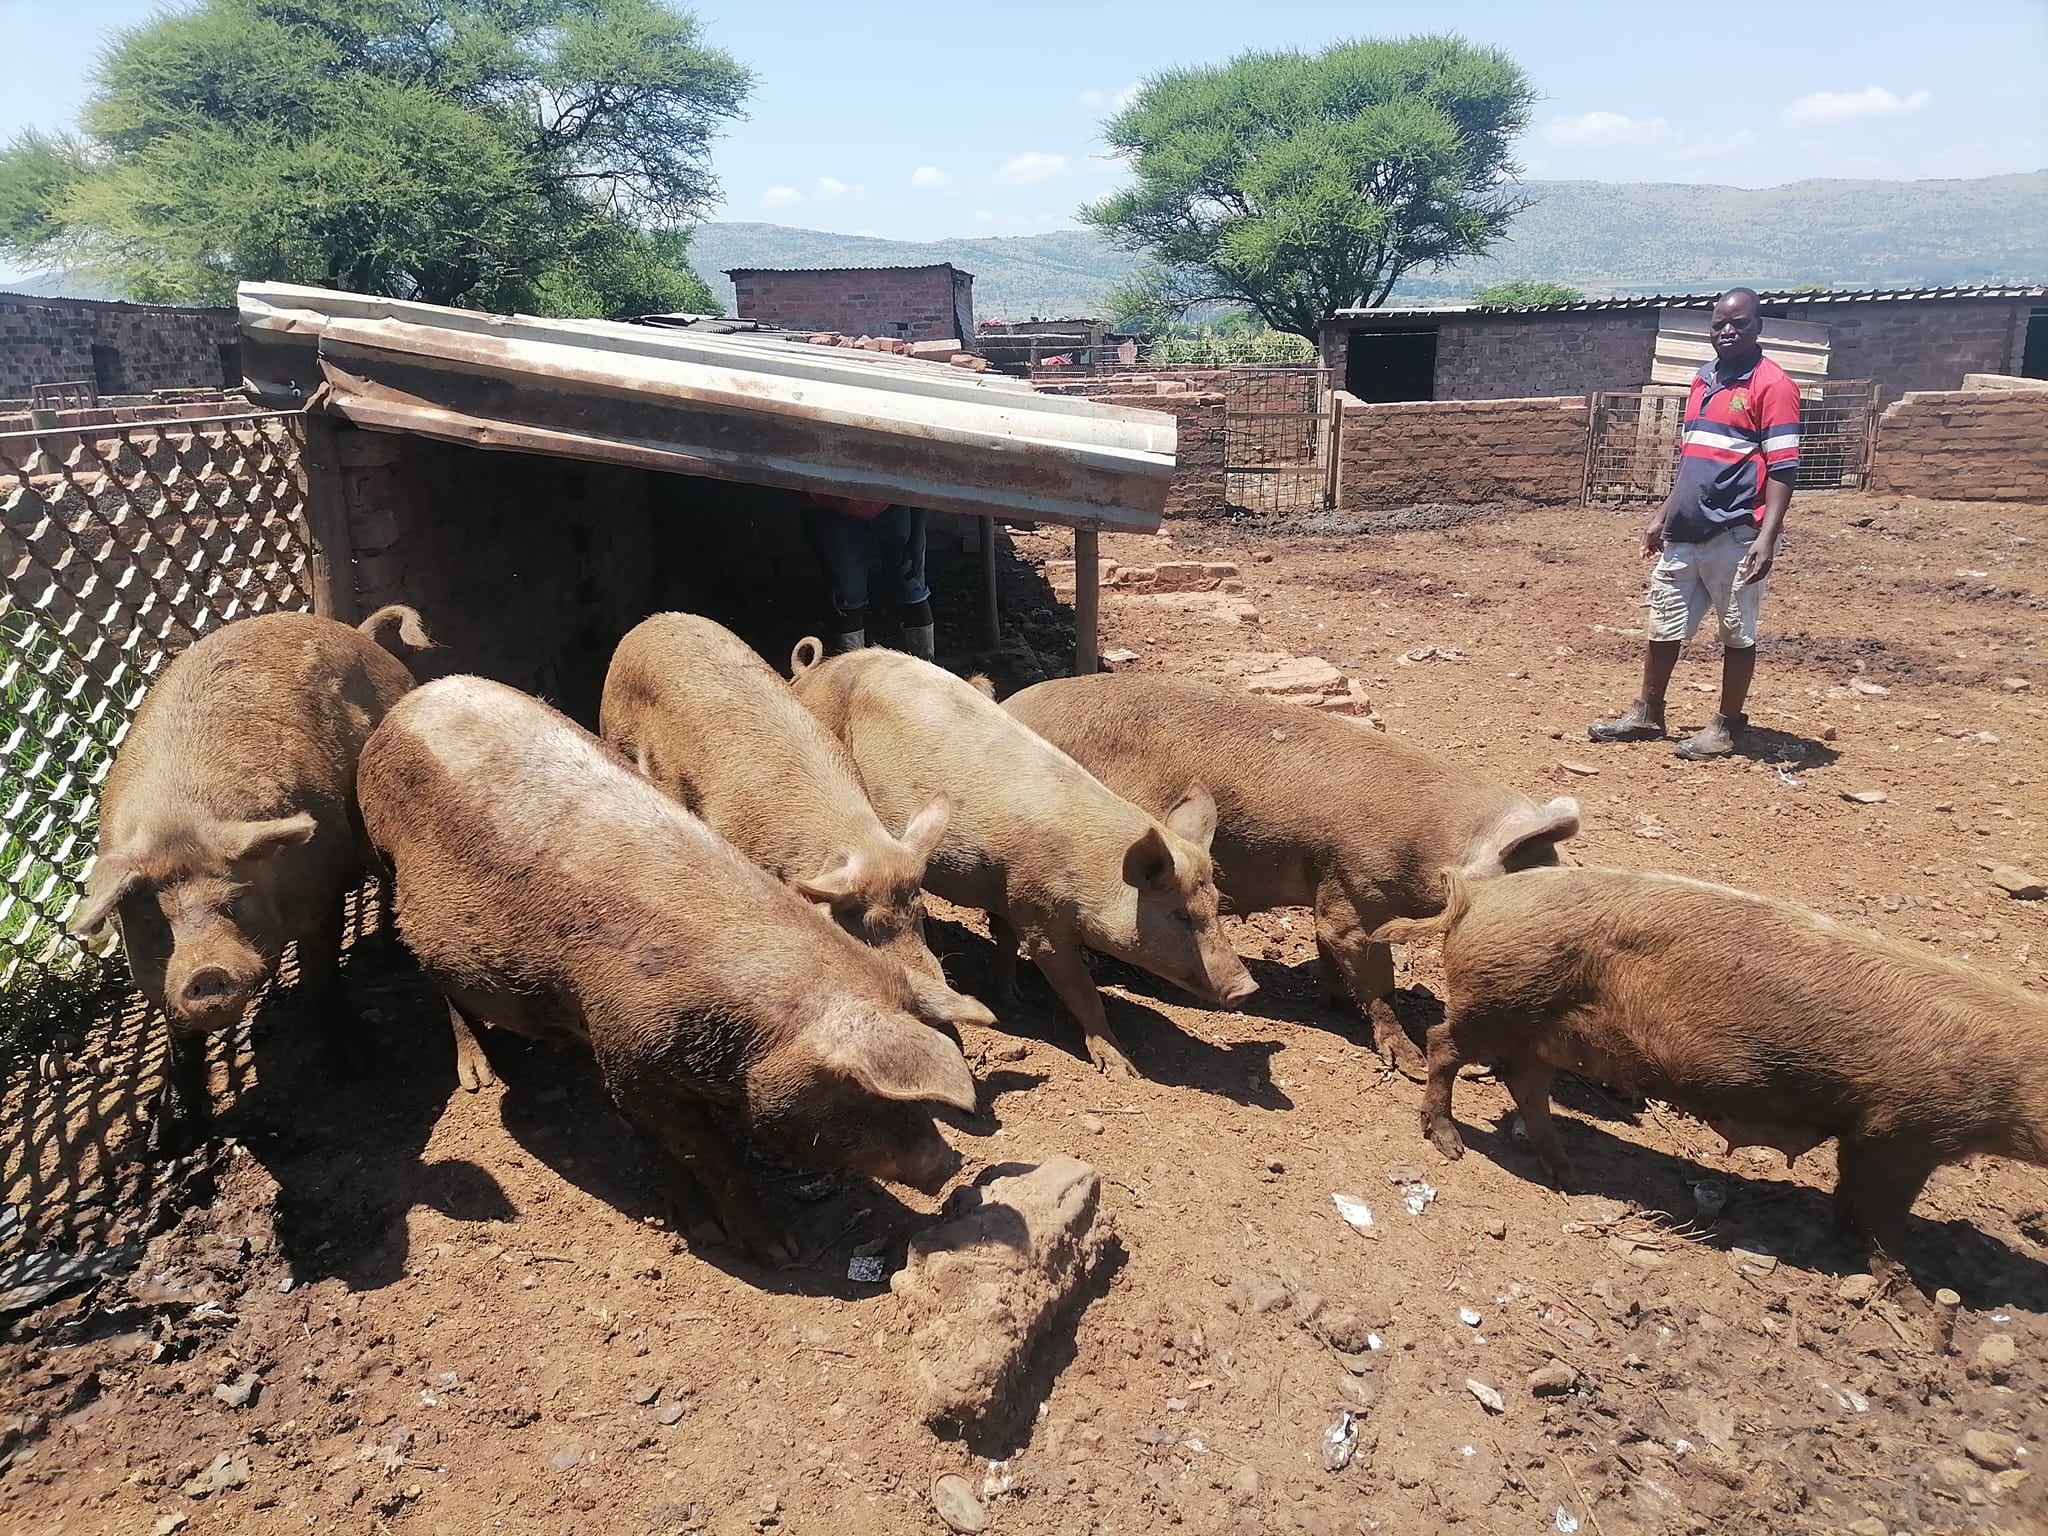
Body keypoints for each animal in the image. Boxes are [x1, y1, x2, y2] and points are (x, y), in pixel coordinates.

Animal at [68, 605, 435, 1149]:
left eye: (233, 901)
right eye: (155, 923)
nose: (206, 974)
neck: (178, 822)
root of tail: (360, 634)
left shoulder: (319, 895)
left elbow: (323, 980)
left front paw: (354, 1066)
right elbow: (181, 1043)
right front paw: (167, 1141)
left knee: (388, 880)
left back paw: (387, 956)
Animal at [356, 674, 984, 1263]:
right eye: (862, 1092)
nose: (947, 1163)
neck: (746, 1038)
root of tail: (409, 703)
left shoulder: (620, 1064)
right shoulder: (630, 1057)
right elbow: (711, 1157)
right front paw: (772, 1250)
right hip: (389, 871)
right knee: (438, 984)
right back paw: (479, 1077)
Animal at [788, 642, 1256, 1077]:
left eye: (1216, 906)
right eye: (1180, 915)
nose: (1247, 988)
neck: (1094, 872)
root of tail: (817, 671)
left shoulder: (1008, 891)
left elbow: (1006, 941)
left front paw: (1011, 998)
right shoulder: (1040, 916)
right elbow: (1081, 989)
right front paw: (1124, 1069)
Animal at [1003, 673, 1578, 1077]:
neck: (1433, 849)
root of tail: (1010, 704)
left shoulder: (1330, 886)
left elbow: (1330, 953)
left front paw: (1336, 1005)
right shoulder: (1356, 887)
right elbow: (1370, 971)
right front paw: (1410, 1065)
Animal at [1377, 865, 2048, 1268]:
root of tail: (1479, 896)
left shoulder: (1886, 1136)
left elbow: (1853, 1198)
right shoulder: (1900, 1131)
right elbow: (1884, 1214)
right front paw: (1898, 1281)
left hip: (1540, 1027)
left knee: (1525, 1085)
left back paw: (1569, 1176)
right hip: (1501, 1004)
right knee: (1443, 1044)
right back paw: (1449, 1146)